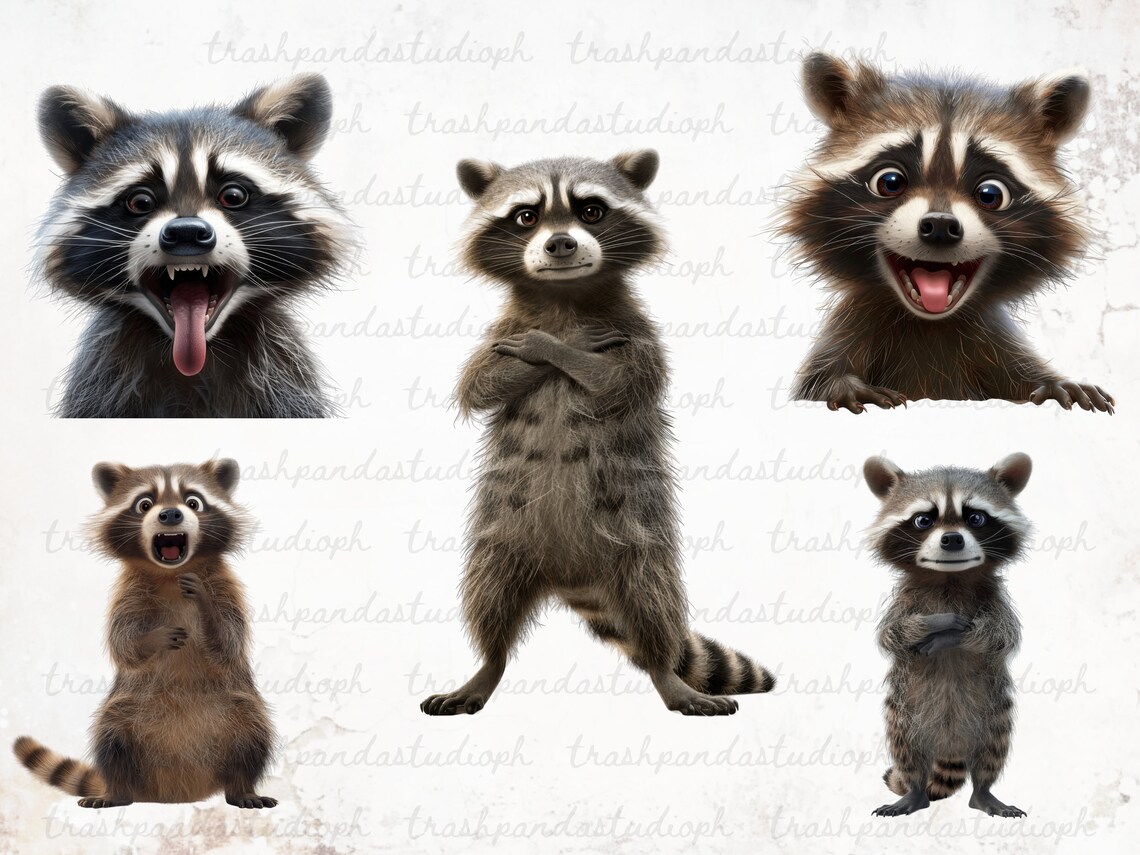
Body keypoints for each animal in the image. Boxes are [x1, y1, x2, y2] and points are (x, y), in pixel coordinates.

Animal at [13, 459, 276, 809]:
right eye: (144, 504)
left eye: (193, 502)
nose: (171, 514)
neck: (173, 572)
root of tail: (178, 791)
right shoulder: (127, 593)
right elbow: (122, 645)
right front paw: (152, 639)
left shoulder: (227, 589)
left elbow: (229, 642)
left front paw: (204, 606)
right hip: (127, 711)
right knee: (111, 735)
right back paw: (117, 791)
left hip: (237, 708)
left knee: (253, 732)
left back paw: (241, 787)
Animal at [36, 75, 352, 417]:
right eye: (140, 201)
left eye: (233, 195)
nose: (186, 233)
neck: (195, 358)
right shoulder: (102, 382)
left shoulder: (285, 382)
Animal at [420, 151, 775, 717]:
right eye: (526, 216)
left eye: (591, 210)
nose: (561, 243)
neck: (565, 297)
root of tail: (571, 574)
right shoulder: (497, 333)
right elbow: (476, 385)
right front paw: (546, 348)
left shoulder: (642, 335)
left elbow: (622, 382)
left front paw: (558, 348)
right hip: (500, 534)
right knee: (488, 596)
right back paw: (487, 664)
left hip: (641, 536)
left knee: (653, 601)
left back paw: (665, 671)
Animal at [780, 53, 1113, 413]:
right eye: (890, 182)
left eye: (990, 194)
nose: (940, 226)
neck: (929, 324)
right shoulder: (855, 325)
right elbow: (818, 379)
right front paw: (842, 385)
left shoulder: (992, 340)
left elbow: (1024, 377)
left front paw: (1054, 383)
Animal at [864, 453, 1032, 817]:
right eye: (924, 520)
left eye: (976, 517)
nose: (952, 539)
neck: (949, 579)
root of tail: (950, 746)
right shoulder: (904, 601)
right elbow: (891, 635)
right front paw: (936, 624)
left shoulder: (995, 600)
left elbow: (1002, 635)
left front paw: (955, 635)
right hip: (903, 712)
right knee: (907, 751)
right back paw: (914, 792)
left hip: (994, 709)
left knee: (991, 749)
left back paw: (983, 792)